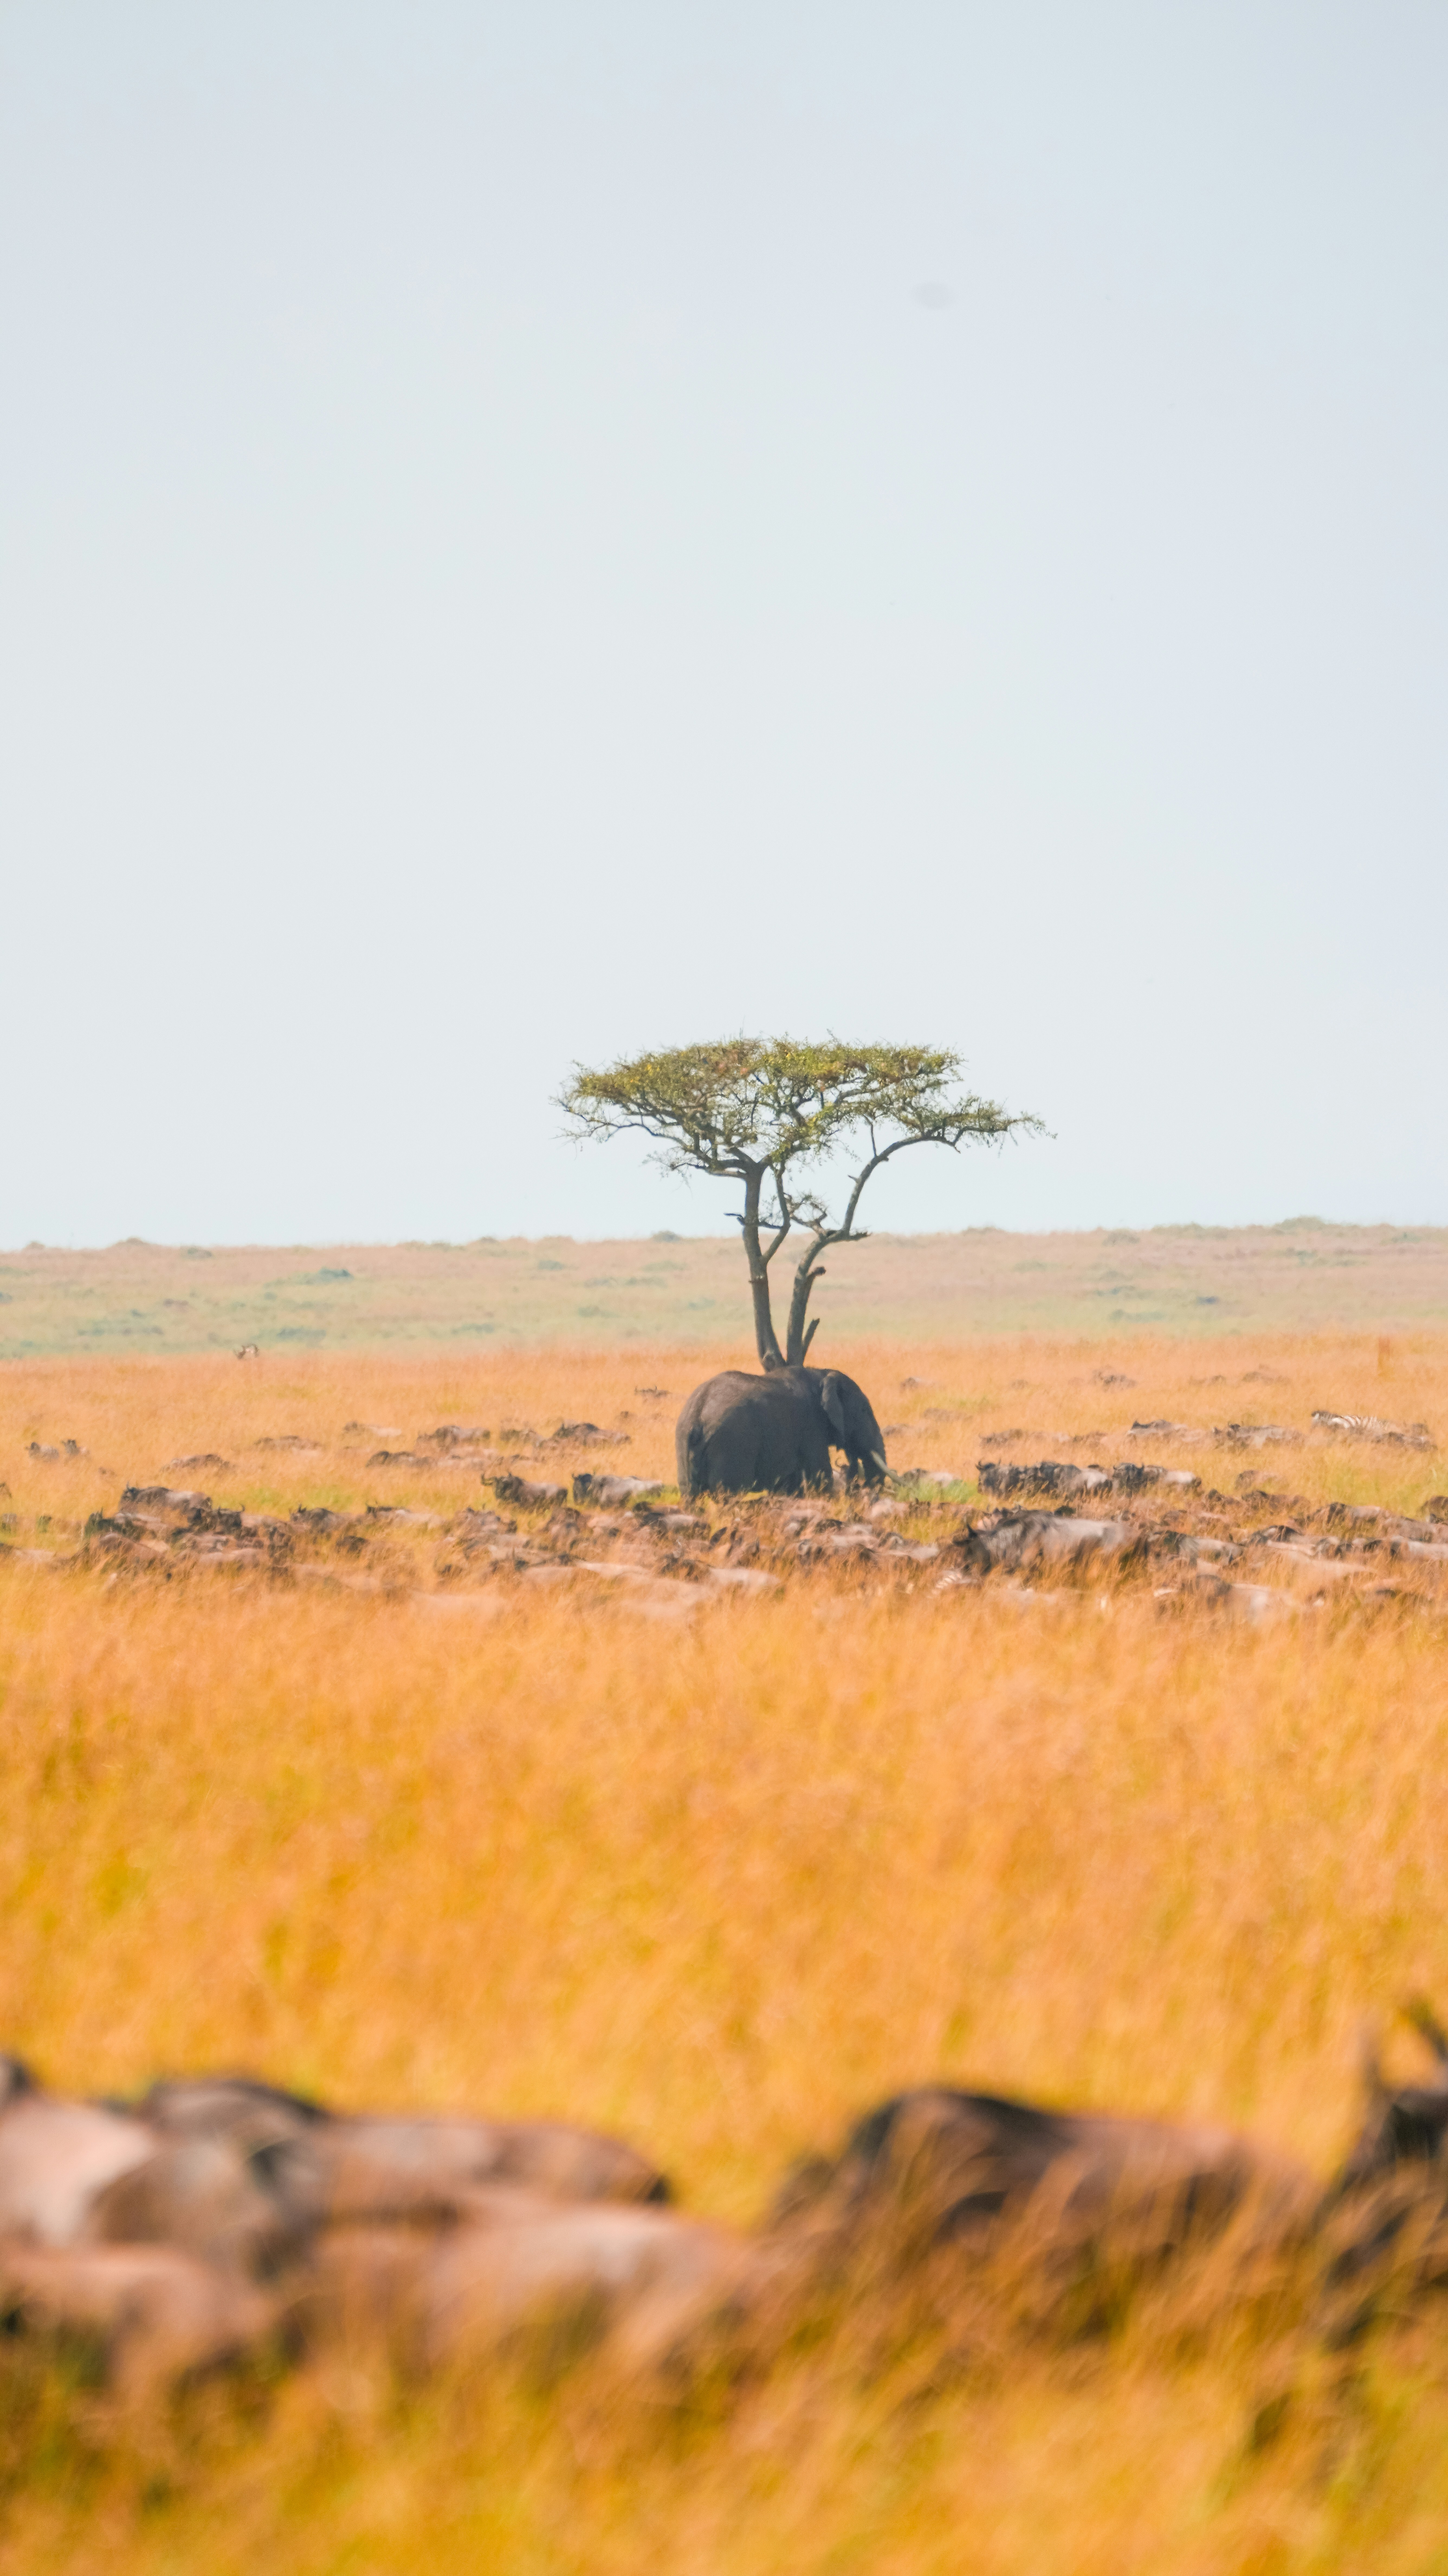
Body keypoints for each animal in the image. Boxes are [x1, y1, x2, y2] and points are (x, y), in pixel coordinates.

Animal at [675, 1365, 888, 1500]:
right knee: (728, 1495)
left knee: (690, 1497)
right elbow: (819, 1477)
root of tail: (698, 1415)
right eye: (865, 1412)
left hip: (683, 1444)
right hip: (731, 1445)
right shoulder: (810, 1426)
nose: (860, 1489)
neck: (821, 1374)